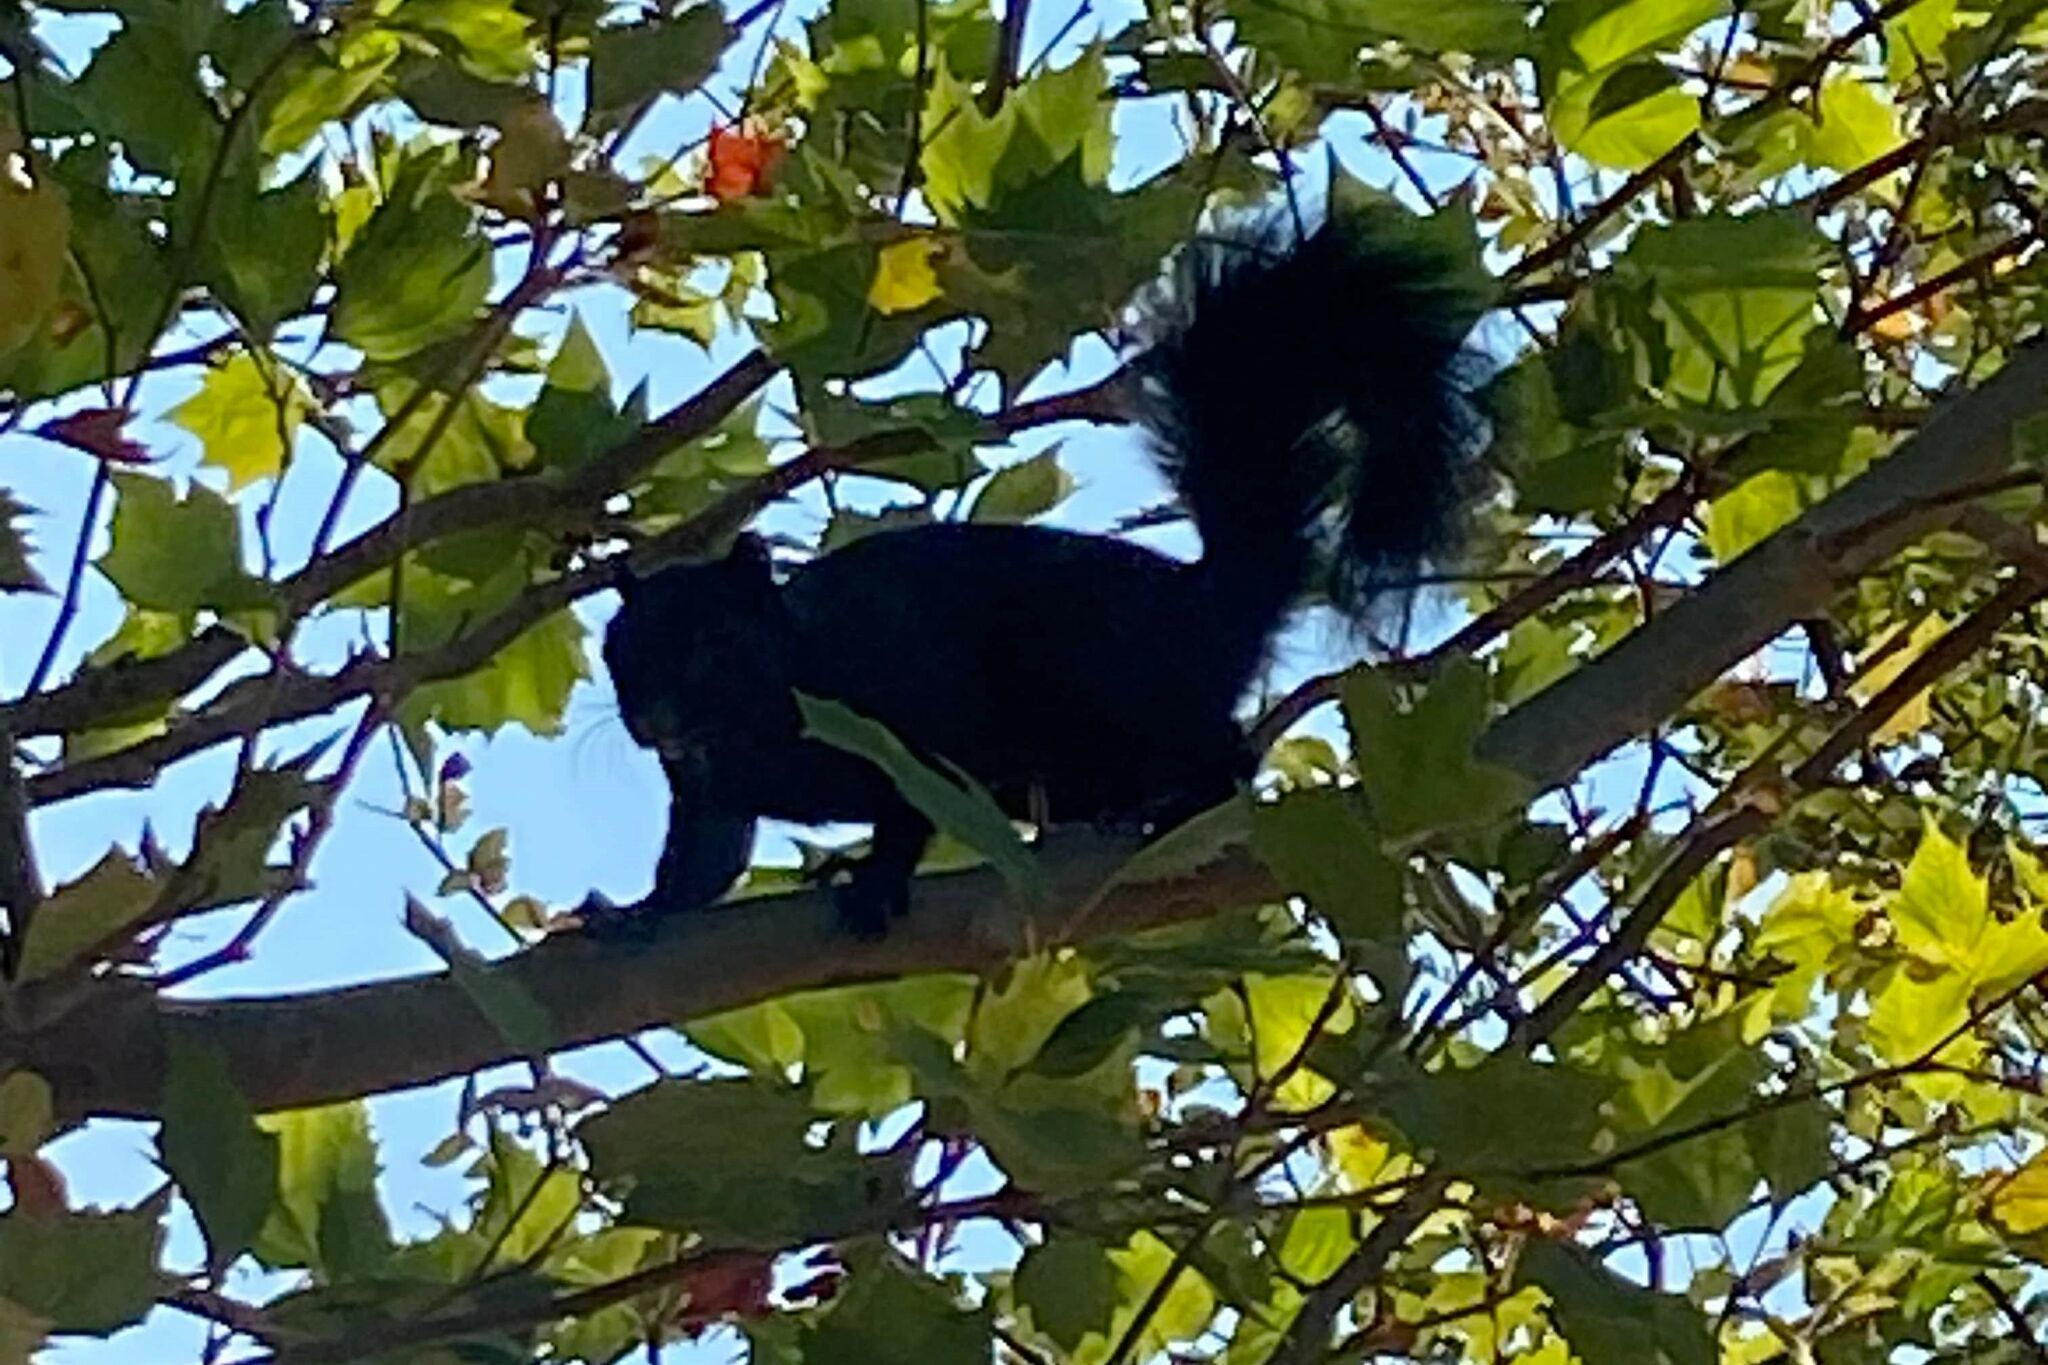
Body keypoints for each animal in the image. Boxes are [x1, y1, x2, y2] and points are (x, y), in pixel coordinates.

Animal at [603, 206, 1494, 937]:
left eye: (713, 642)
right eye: (618, 651)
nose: (651, 720)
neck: (760, 711)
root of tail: (1207, 600)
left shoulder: (906, 694)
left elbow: (910, 798)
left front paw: (878, 880)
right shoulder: (706, 787)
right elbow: (705, 861)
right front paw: (639, 912)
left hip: (1112, 676)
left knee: (1224, 753)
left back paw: (1182, 805)